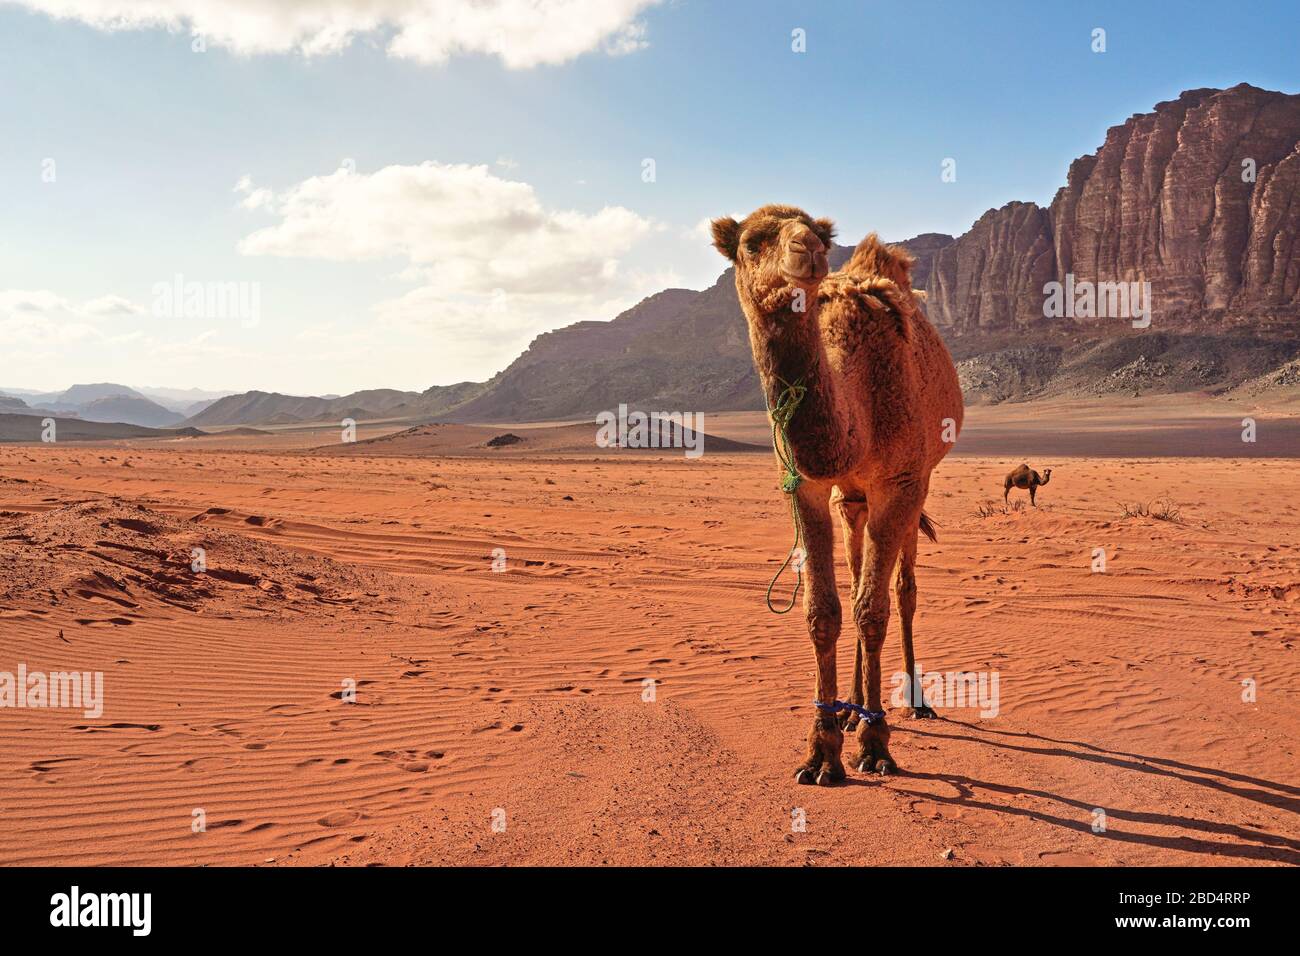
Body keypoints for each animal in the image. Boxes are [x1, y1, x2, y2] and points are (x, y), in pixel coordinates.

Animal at [711, 204, 963, 784]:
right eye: (752, 242)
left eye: (820, 236)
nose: (806, 248)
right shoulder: (806, 487)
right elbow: (824, 611)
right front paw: (823, 750)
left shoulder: (901, 482)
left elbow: (875, 610)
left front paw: (876, 743)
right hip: (852, 498)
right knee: (855, 574)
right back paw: (850, 709)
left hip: (915, 485)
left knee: (902, 589)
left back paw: (911, 701)